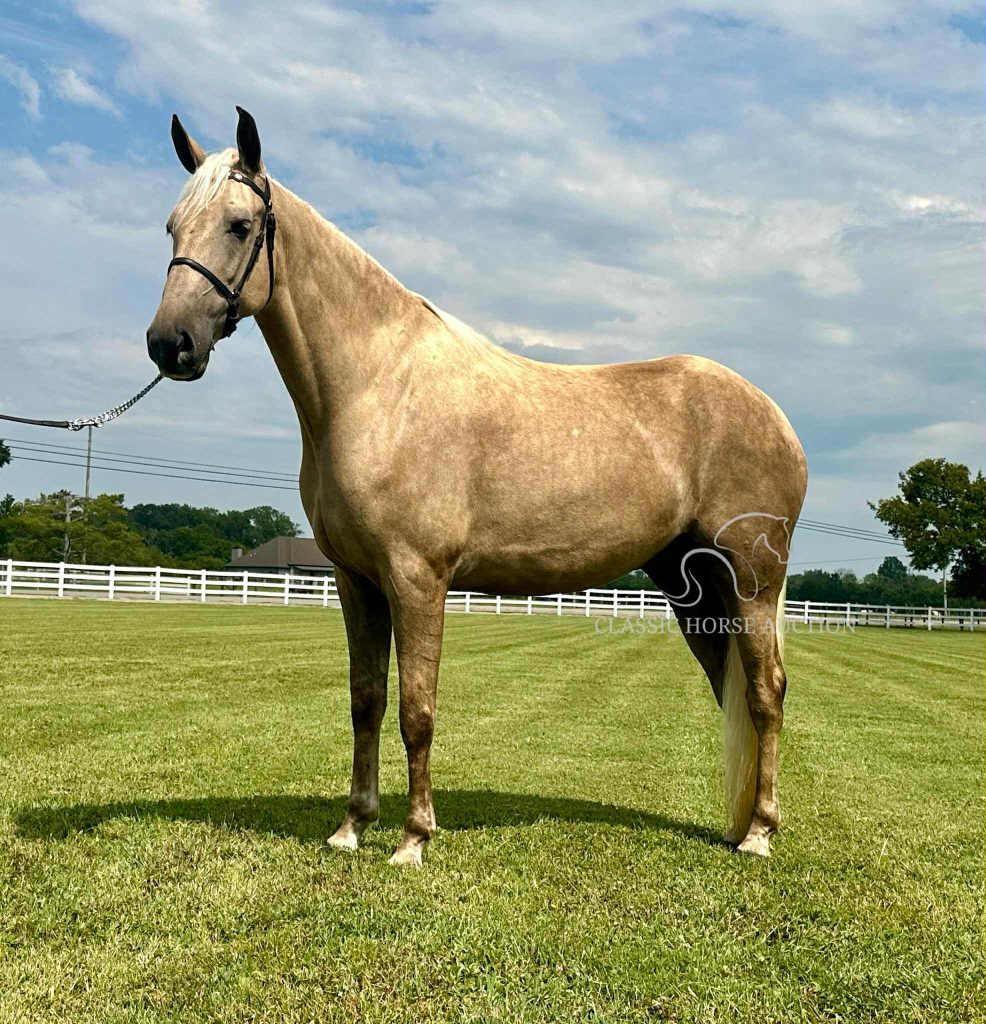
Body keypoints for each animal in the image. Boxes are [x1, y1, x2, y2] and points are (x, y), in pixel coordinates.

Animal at [147, 108, 807, 866]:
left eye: (238, 225)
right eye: (172, 227)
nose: (170, 344)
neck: (378, 383)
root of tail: (776, 418)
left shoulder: (417, 577)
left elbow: (417, 708)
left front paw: (413, 838)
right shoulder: (356, 580)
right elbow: (366, 701)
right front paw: (352, 827)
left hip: (751, 581)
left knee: (765, 693)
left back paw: (758, 834)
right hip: (690, 586)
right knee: (734, 693)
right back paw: (735, 827)